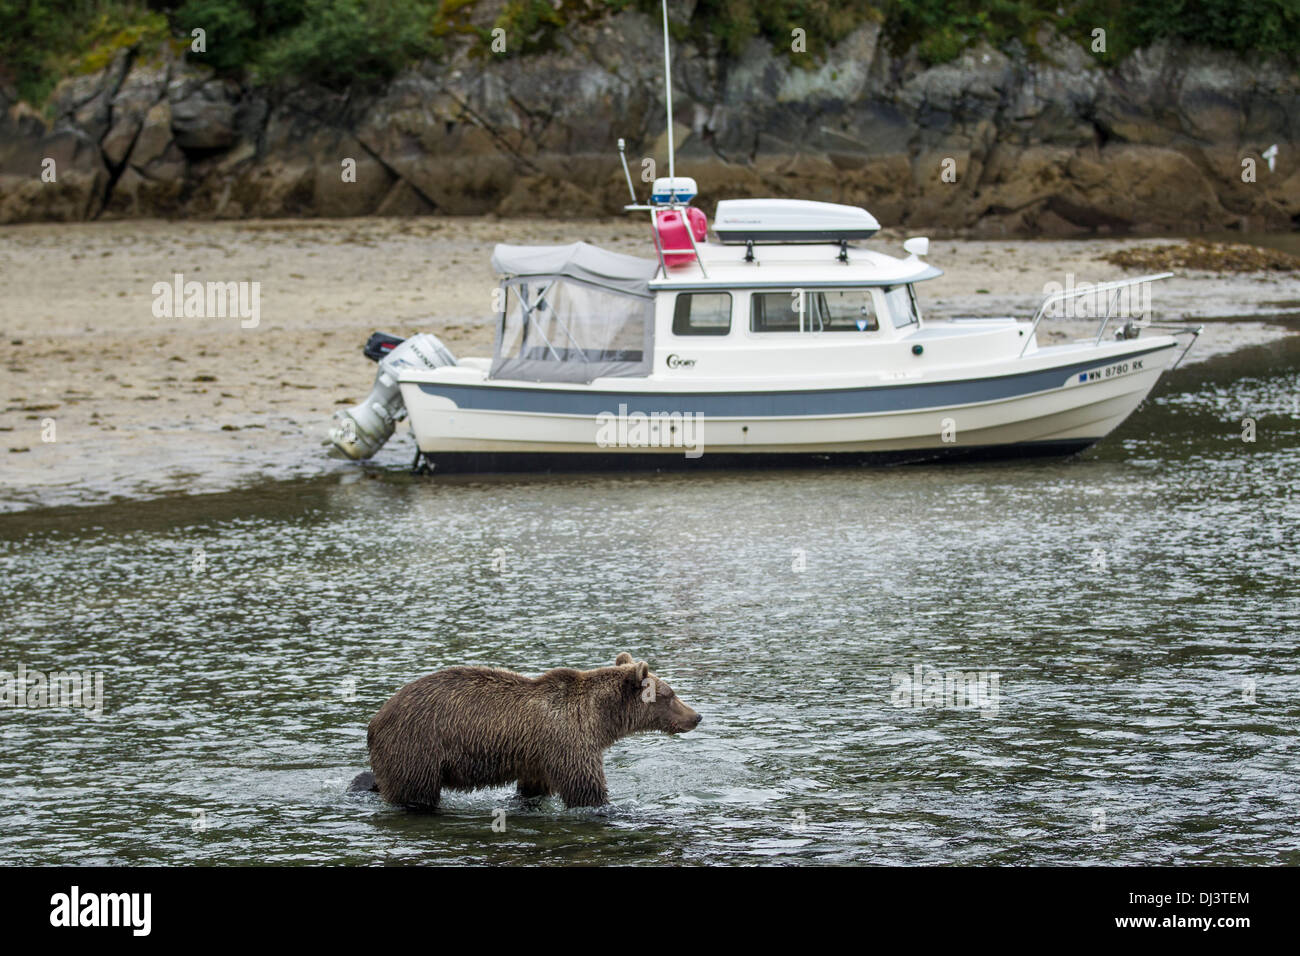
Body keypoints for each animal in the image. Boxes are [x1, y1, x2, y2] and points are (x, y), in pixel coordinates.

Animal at [350, 652, 700, 809]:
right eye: (670, 694)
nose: (696, 716)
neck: (599, 720)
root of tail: (376, 719)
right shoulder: (569, 742)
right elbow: (585, 788)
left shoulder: (536, 757)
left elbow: (533, 788)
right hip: (418, 747)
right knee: (416, 794)